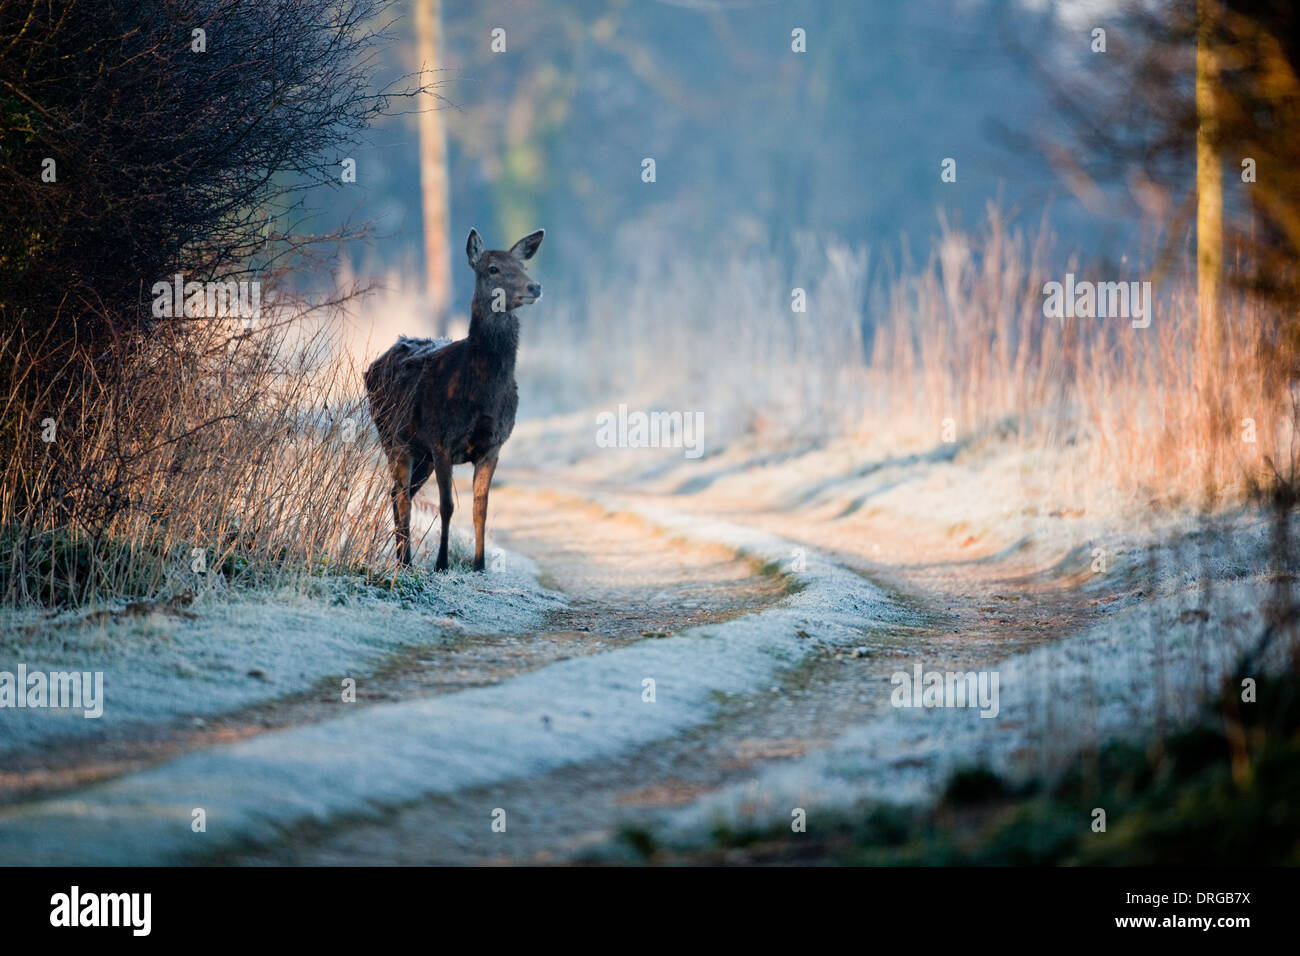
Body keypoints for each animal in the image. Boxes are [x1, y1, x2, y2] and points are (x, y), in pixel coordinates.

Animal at [365, 228, 544, 571]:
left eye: (523, 266)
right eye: (493, 269)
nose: (535, 286)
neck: (481, 390)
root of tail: (371, 367)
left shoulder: (494, 446)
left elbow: (480, 508)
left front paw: (480, 565)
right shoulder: (441, 440)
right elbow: (446, 506)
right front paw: (442, 563)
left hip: (419, 452)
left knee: (398, 493)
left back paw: (403, 559)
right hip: (392, 436)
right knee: (400, 493)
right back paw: (405, 561)